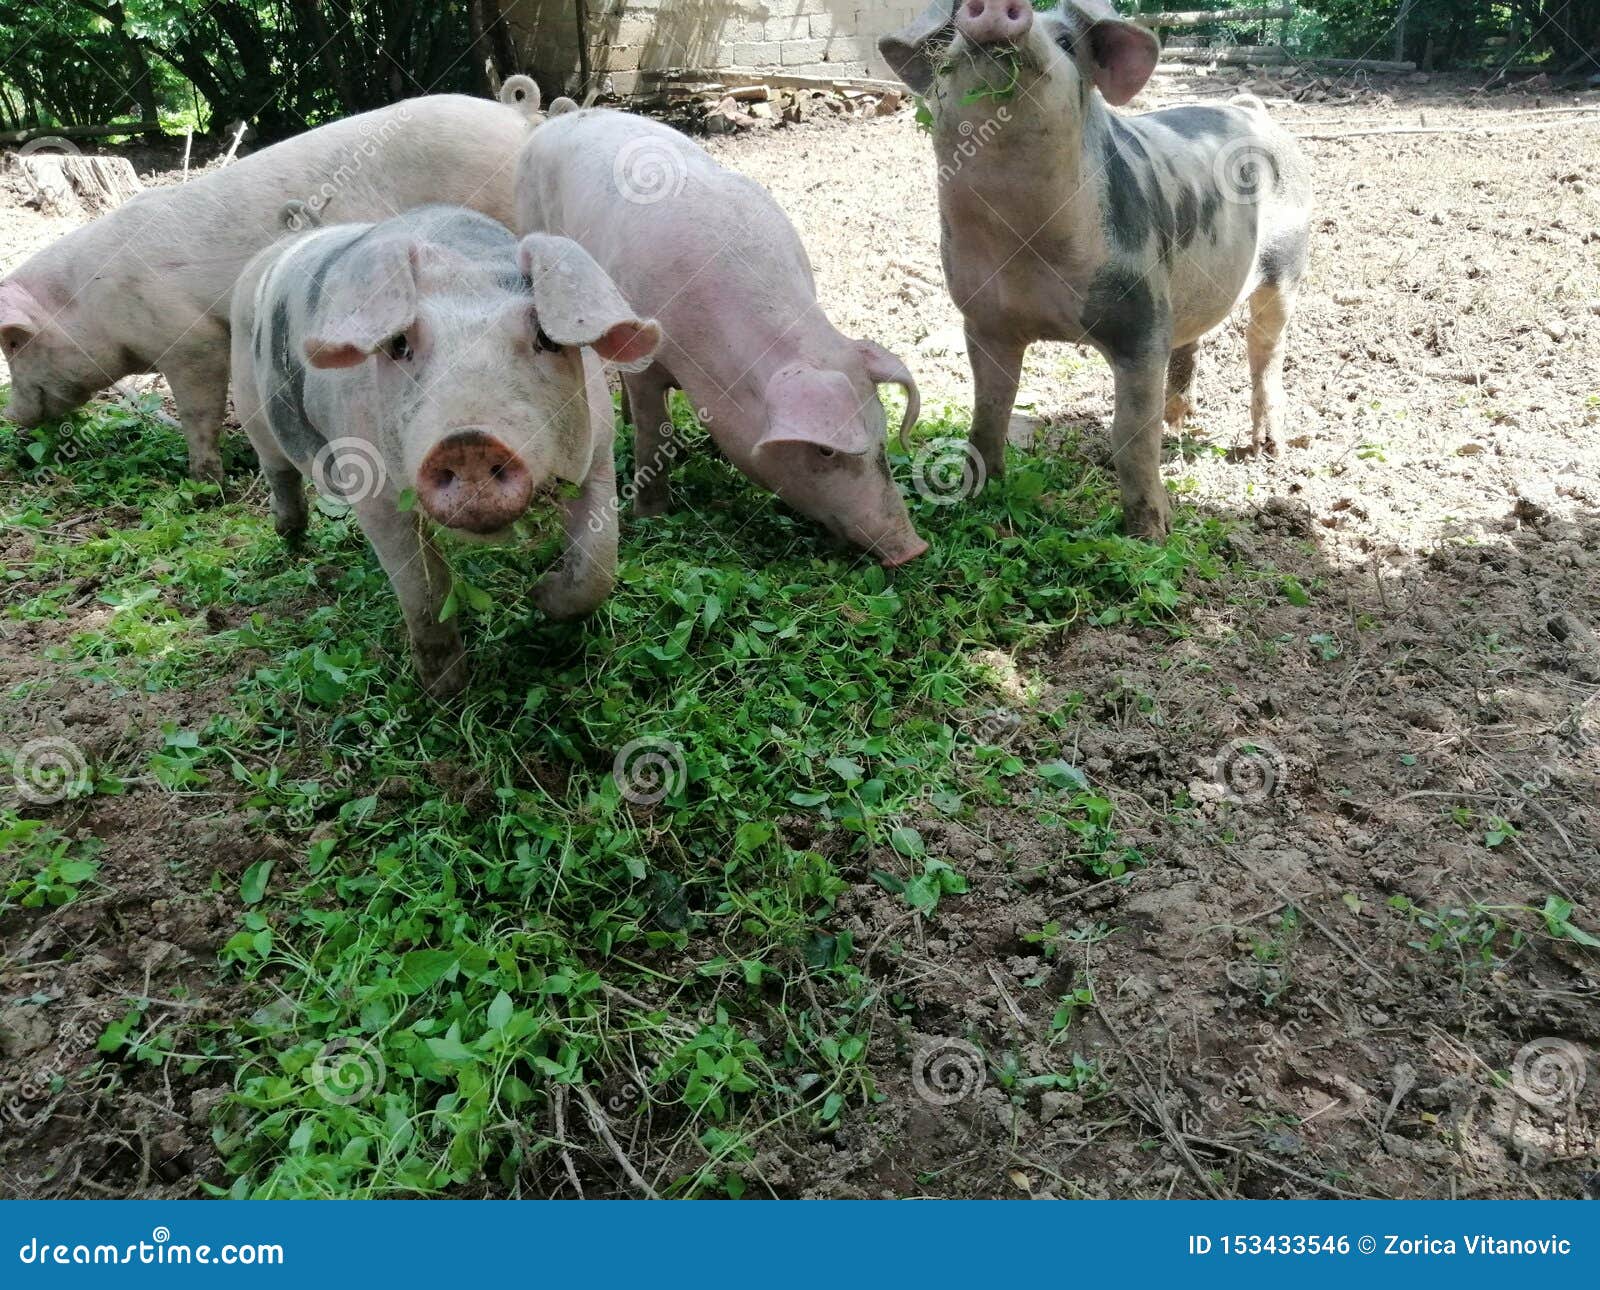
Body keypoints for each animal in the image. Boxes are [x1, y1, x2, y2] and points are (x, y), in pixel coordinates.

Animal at [0, 90, 542, 483]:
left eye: (14, 344)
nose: (14, 415)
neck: (92, 303)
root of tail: (515, 118)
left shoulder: (189, 338)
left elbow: (198, 407)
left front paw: (204, 481)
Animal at [229, 205, 660, 697]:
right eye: (399, 344)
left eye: (547, 339)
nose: (467, 442)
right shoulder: (373, 496)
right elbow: (424, 590)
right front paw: (445, 692)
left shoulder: (600, 455)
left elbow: (597, 567)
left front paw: (539, 592)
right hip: (250, 404)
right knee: (277, 470)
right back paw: (291, 536)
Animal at [514, 109, 929, 568]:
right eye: (825, 451)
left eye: (882, 430)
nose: (912, 548)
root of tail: (561, 117)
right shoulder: (646, 357)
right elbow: (653, 432)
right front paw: (651, 516)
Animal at [880, 0, 1314, 539]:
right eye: (952, 39)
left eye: (1068, 43)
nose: (998, 9)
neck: (1027, 246)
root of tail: (1252, 109)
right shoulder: (982, 318)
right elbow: (989, 410)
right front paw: (975, 495)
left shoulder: (1141, 317)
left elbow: (1129, 433)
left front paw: (1151, 533)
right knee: (1192, 341)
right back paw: (1177, 423)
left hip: (1287, 263)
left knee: (1266, 352)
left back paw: (1266, 451)